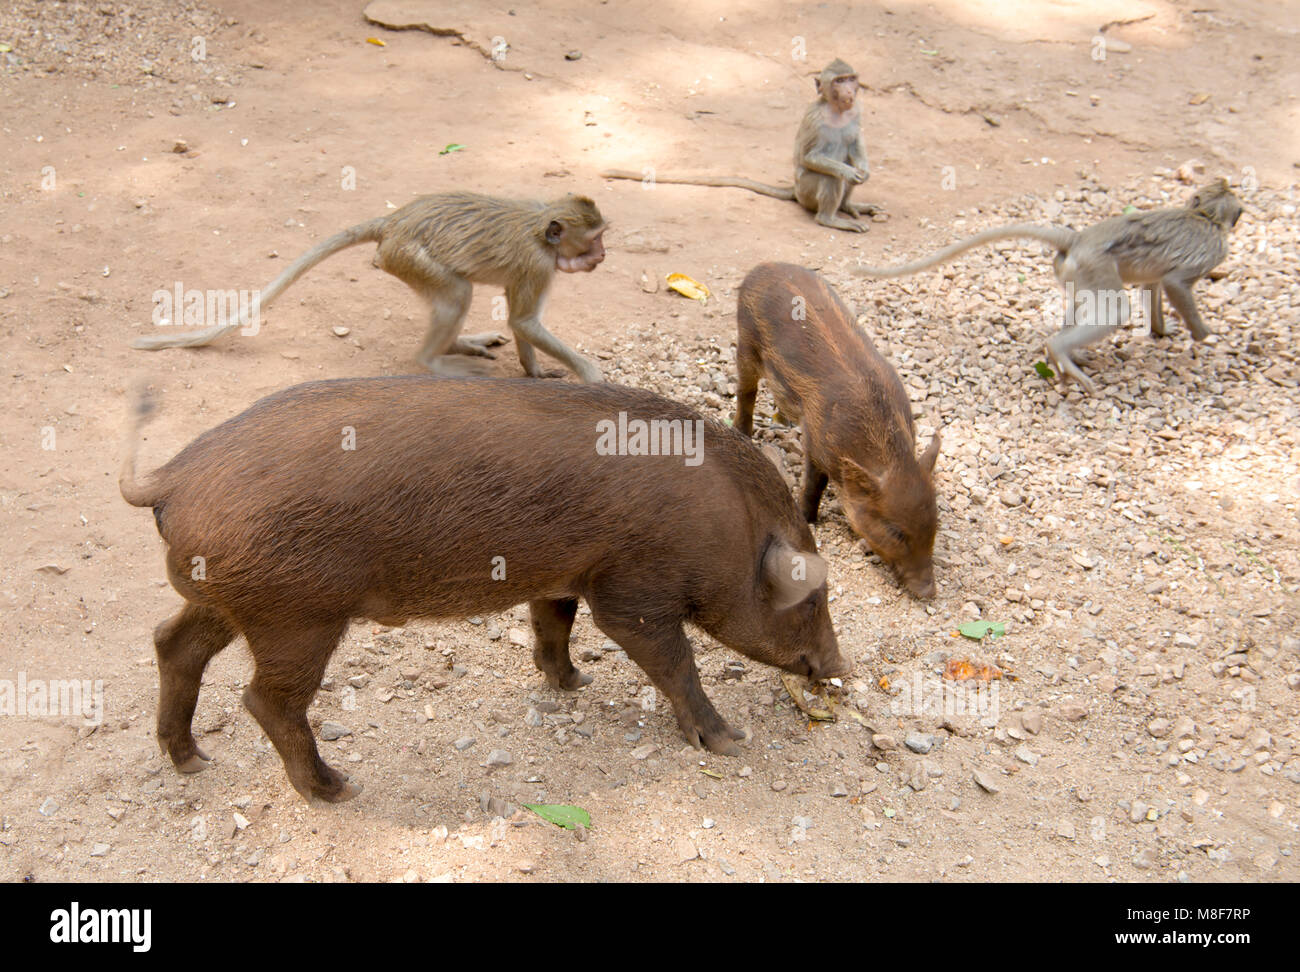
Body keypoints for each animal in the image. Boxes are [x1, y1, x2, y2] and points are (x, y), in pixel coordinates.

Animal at [120, 376, 851, 803]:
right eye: (813, 597)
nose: (840, 670)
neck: (729, 532)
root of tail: (168, 478)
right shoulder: (633, 588)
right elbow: (672, 662)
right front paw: (729, 742)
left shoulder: (567, 571)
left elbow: (553, 621)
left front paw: (572, 683)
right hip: (296, 616)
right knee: (264, 700)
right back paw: (338, 790)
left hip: (222, 599)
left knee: (171, 645)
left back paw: (193, 763)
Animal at [733, 262, 941, 598]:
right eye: (895, 531)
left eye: (935, 521)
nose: (928, 591)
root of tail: (762, 268)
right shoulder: (817, 442)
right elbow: (813, 486)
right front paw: (808, 519)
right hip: (746, 341)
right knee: (745, 393)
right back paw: (743, 432)